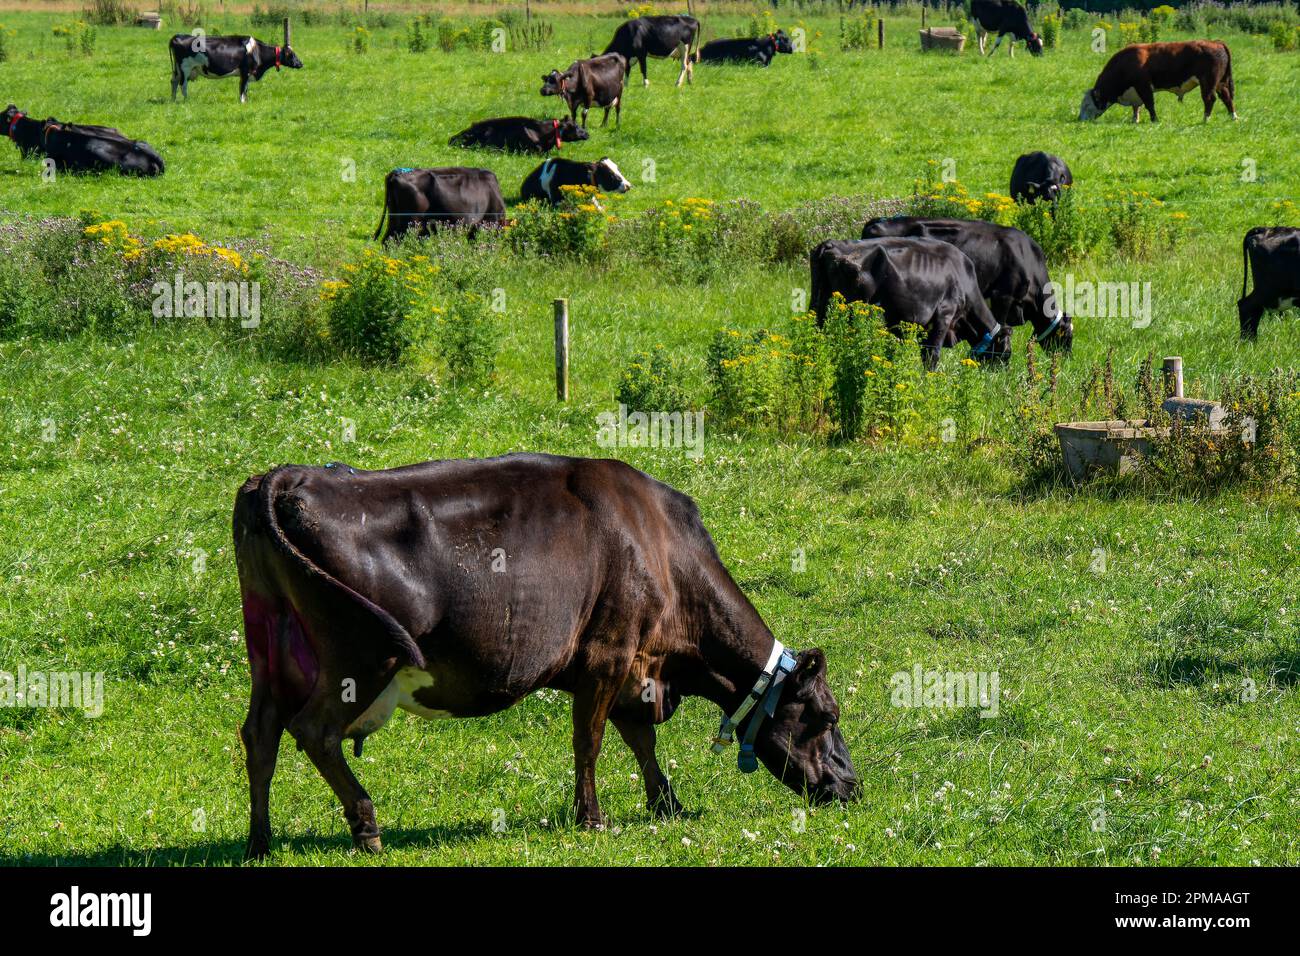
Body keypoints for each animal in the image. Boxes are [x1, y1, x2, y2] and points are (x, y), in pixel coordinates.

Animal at [169, 32, 303, 103]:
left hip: (178, 70)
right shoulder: (246, 72)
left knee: (173, 82)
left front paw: (245, 102)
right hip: (185, 68)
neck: (257, 50)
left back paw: (173, 99)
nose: (301, 64)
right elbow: (243, 88)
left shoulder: (246, 74)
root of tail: (178, 36)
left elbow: (245, 88)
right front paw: (242, 103)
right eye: (292, 54)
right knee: (183, 85)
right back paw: (187, 101)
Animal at [234, 454, 859, 857]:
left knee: (260, 732)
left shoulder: (635, 668)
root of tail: (285, 477)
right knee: (313, 731)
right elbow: (592, 741)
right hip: (362, 658)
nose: (851, 785)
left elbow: (641, 742)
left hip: (270, 649)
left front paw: (666, 805)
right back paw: (366, 826)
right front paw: (593, 818)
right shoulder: (609, 654)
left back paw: (261, 840)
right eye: (825, 717)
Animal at [810, 238, 1004, 369]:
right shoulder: (944, 315)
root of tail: (831, 243)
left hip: (820, 306)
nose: (1003, 371)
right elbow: (932, 355)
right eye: (1004, 347)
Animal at [1079, 40, 1236, 124]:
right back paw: (1233, 117)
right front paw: (1135, 120)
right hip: (1220, 83)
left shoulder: (1143, 86)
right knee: (1226, 98)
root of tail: (1215, 42)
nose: (1080, 119)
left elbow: (1149, 104)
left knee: (1209, 99)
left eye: (1086, 104)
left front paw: (1154, 120)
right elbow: (1136, 107)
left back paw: (1205, 119)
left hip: (1208, 83)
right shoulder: (1135, 92)